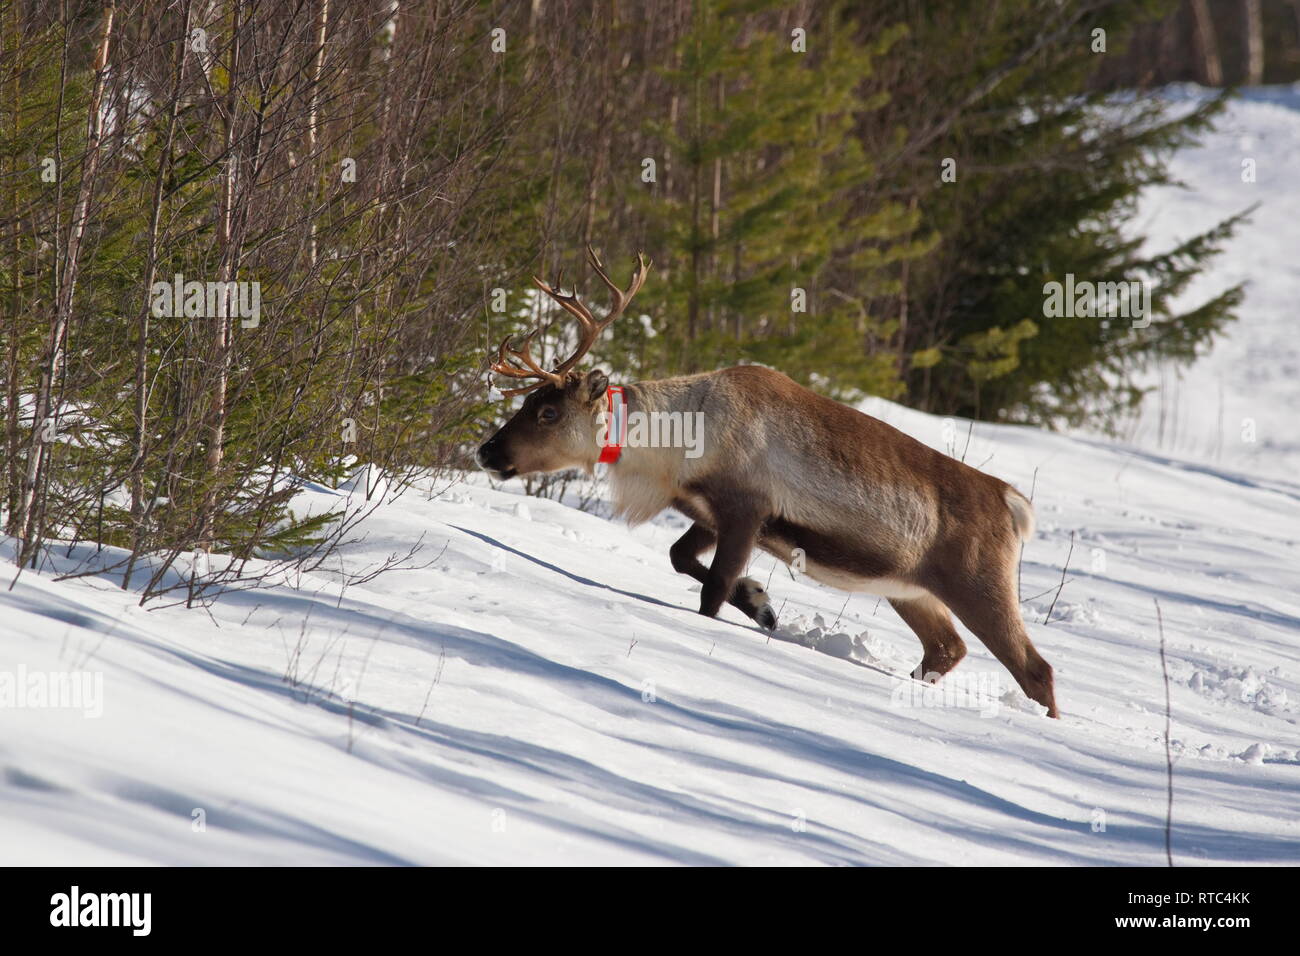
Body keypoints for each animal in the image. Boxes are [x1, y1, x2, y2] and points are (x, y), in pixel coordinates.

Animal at [476, 246, 1059, 718]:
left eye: (548, 412)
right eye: (529, 404)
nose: (486, 452)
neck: (678, 443)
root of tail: (1012, 502)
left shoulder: (745, 510)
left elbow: (711, 587)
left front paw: (741, 609)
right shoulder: (709, 512)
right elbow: (681, 558)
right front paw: (760, 601)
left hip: (979, 583)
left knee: (1036, 667)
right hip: (910, 588)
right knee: (947, 647)